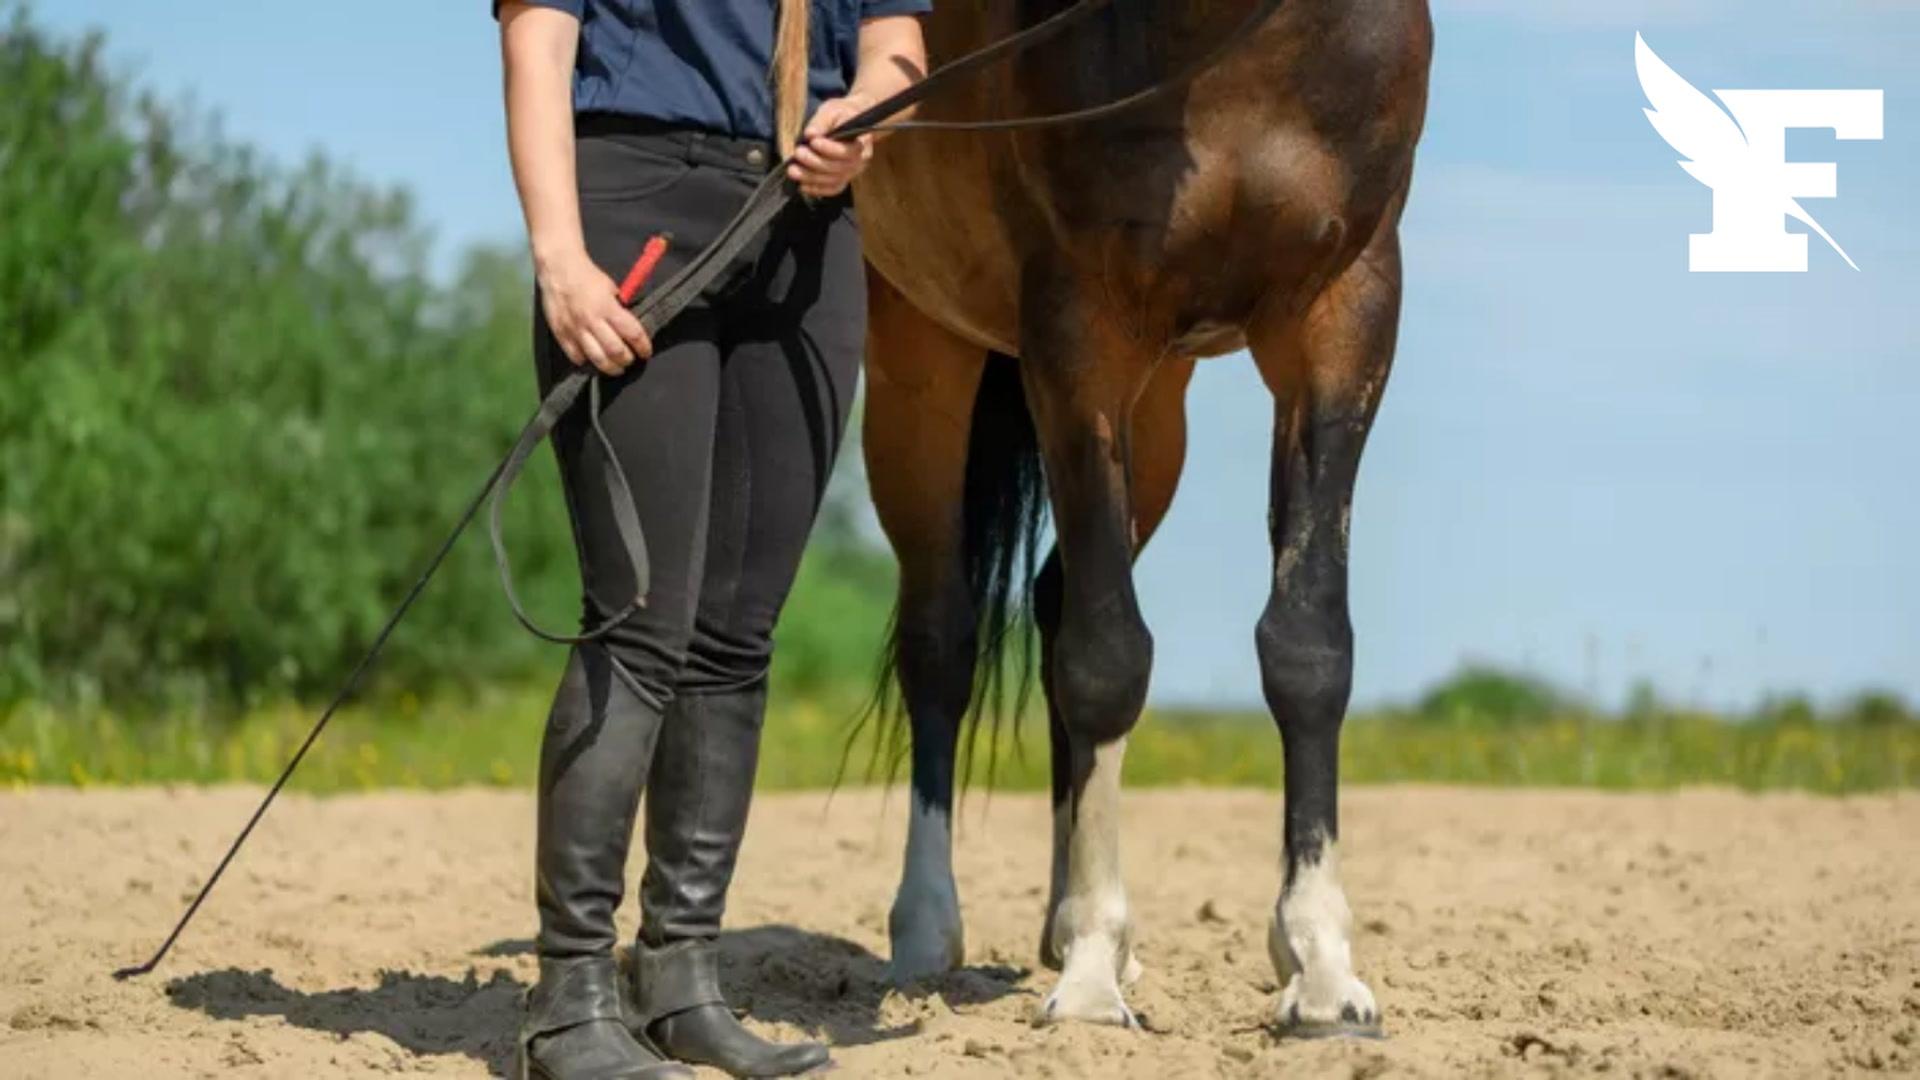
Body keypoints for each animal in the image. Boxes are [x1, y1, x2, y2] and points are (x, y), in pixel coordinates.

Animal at [852, 0, 1432, 1033]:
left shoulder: (1345, 311)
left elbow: (1308, 645)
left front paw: (1321, 968)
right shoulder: (1075, 331)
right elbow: (1106, 659)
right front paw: (1089, 979)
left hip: (1159, 409)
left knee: (1051, 599)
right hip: (921, 345)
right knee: (941, 635)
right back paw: (927, 933)